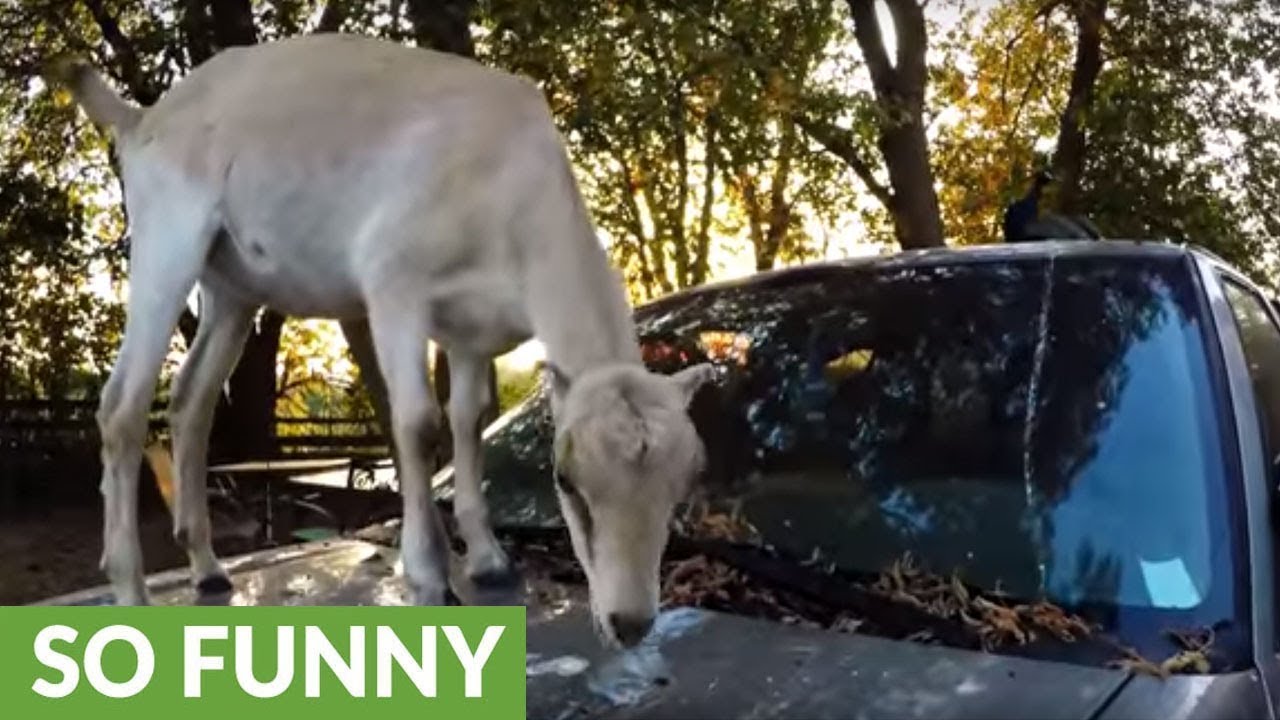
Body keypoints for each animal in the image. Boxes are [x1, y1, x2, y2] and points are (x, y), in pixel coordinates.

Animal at [49, 32, 715, 647]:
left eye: (683, 486)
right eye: (566, 481)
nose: (630, 624)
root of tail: (143, 119)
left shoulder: (471, 332)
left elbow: (470, 418)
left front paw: (487, 559)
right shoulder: (394, 284)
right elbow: (418, 424)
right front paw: (429, 576)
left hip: (231, 286)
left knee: (192, 399)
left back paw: (208, 567)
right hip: (169, 238)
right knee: (123, 406)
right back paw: (131, 590)